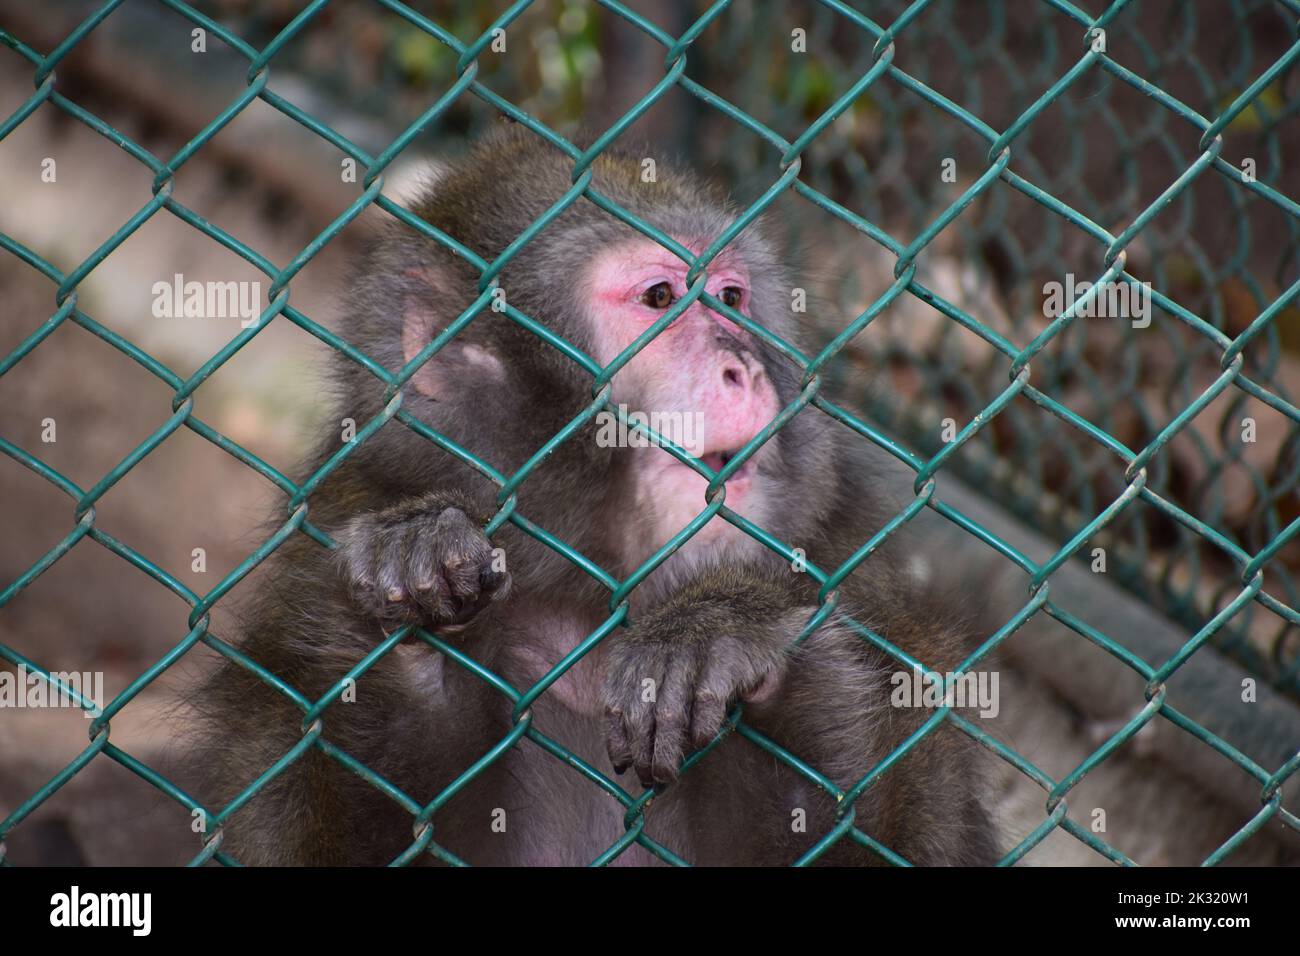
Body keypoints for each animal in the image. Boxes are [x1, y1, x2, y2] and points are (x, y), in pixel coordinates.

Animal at [192, 124, 1000, 867]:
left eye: (731, 298)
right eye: (660, 297)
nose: (743, 368)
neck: (590, 595)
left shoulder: (850, 559)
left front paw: (724, 629)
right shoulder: (329, 537)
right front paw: (413, 574)